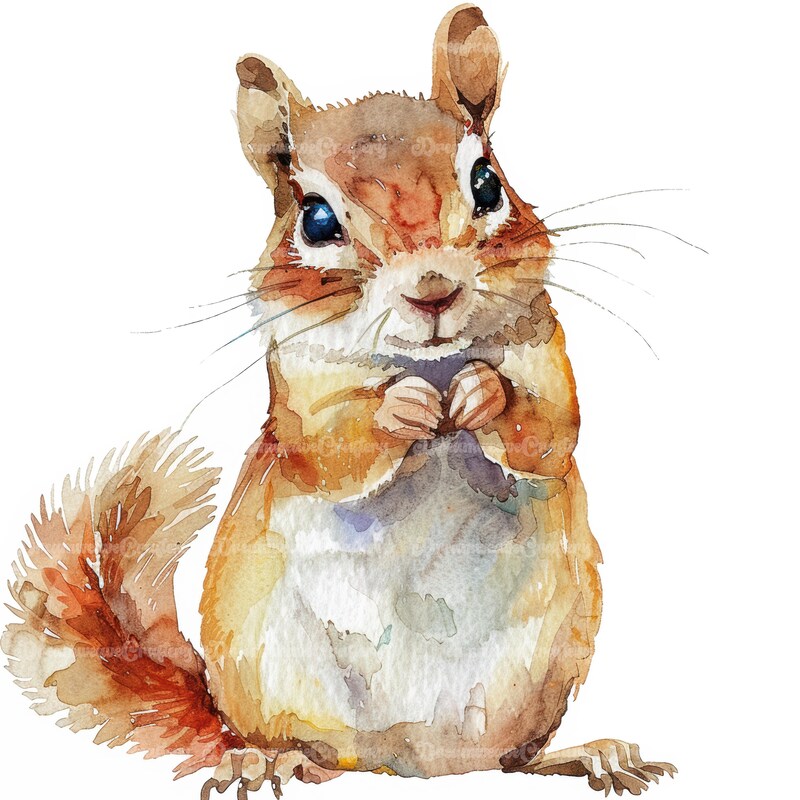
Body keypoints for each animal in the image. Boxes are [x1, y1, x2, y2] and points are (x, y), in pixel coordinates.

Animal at [3, 5, 675, 797]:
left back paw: (593, 754)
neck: (428, 362)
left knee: (516, 757)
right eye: (316, 219)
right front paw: (399, 409)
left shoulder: (548, 349)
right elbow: (329, 449)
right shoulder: (296, 392)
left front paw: (484, 394)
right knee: (312, 751)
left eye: (487, 182)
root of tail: (416, 763)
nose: (433, 288)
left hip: (539, 682)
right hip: (277, 685)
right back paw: (269, 760)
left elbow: (552, 427)